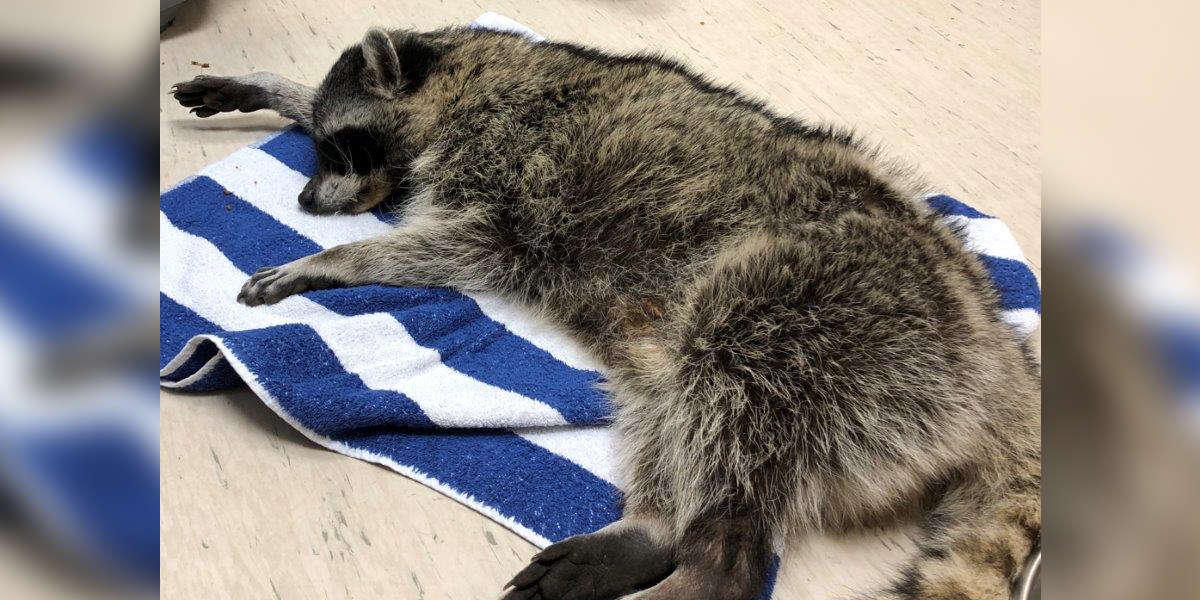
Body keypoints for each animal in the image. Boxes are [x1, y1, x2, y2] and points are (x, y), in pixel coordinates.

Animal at [172, 26, 1040, 600]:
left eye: (341, 148)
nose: (306, 204)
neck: (461, 68)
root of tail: (995, 342)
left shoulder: (512, 174)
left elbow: (466, 245)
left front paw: (335, 260)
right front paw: (269, 85)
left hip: (825, 306)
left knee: (735, 382)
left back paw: (708, 564)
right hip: (703, 336)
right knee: (674, 402)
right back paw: (652, 527)